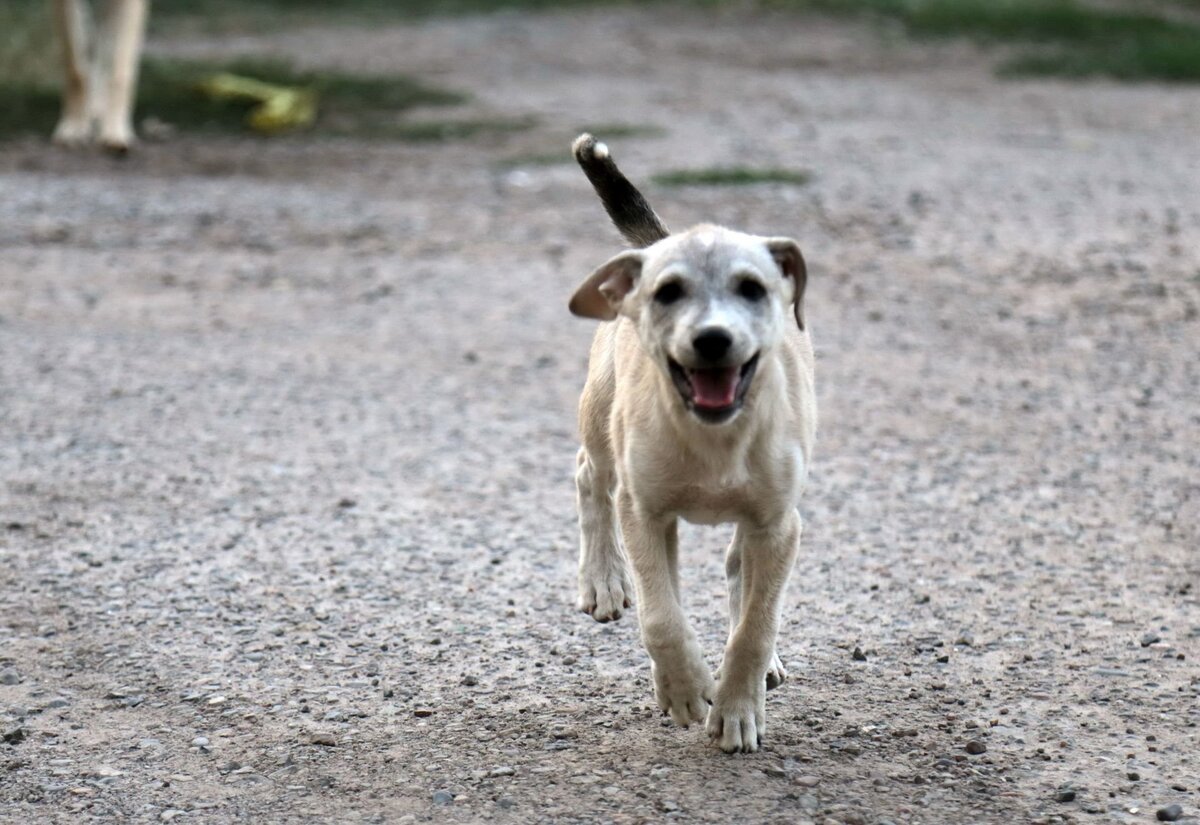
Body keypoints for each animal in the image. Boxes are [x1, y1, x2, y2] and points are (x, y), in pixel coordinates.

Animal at [51, 0, 150, 151]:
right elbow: (76, 71)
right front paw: (75, 127)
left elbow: (118, 75)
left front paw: (115, 131)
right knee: (96, 44)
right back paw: (94, 108)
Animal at [568, 133, 816, 753]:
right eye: (669, 293)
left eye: (752, 289)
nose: (712, 339)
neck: (714, 437)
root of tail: (651, 244)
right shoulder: (644, 511)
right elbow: (661, 617)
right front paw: (685, 690)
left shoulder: (779, 524)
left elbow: (755, 624)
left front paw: (736, 709)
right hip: (602, 422)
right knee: (589, 479)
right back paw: (603, 581)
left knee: (735, 569)